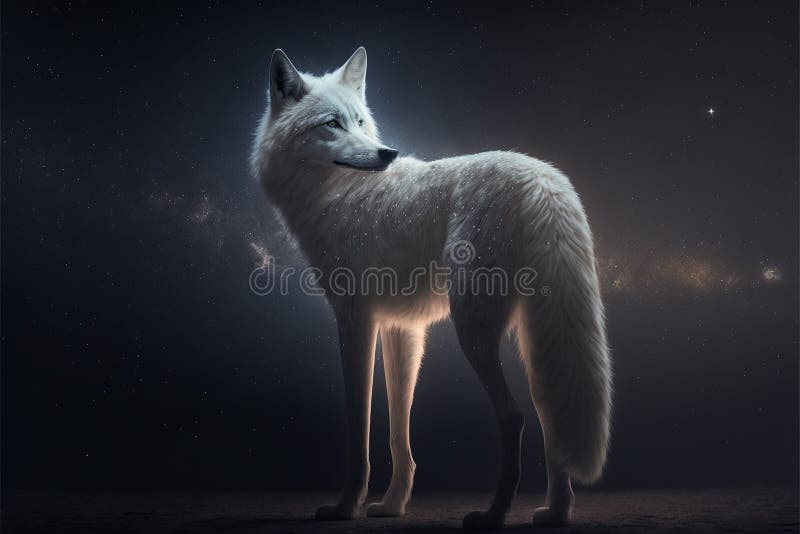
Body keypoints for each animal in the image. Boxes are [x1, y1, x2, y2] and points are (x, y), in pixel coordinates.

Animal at [250, 47, 612, 529]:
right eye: (333, 123)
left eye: (360, 121)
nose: (386, 152)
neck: (340, 197)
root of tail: (542, 180)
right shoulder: (401, 329)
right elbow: (397, 430)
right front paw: (391, 505)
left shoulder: (355, 321)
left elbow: (359, 430)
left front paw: (345, 507)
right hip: (537, 345)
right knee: (551, 418)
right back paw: (555, 513)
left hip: (473, 331)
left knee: (514, 417)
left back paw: (493, 514)